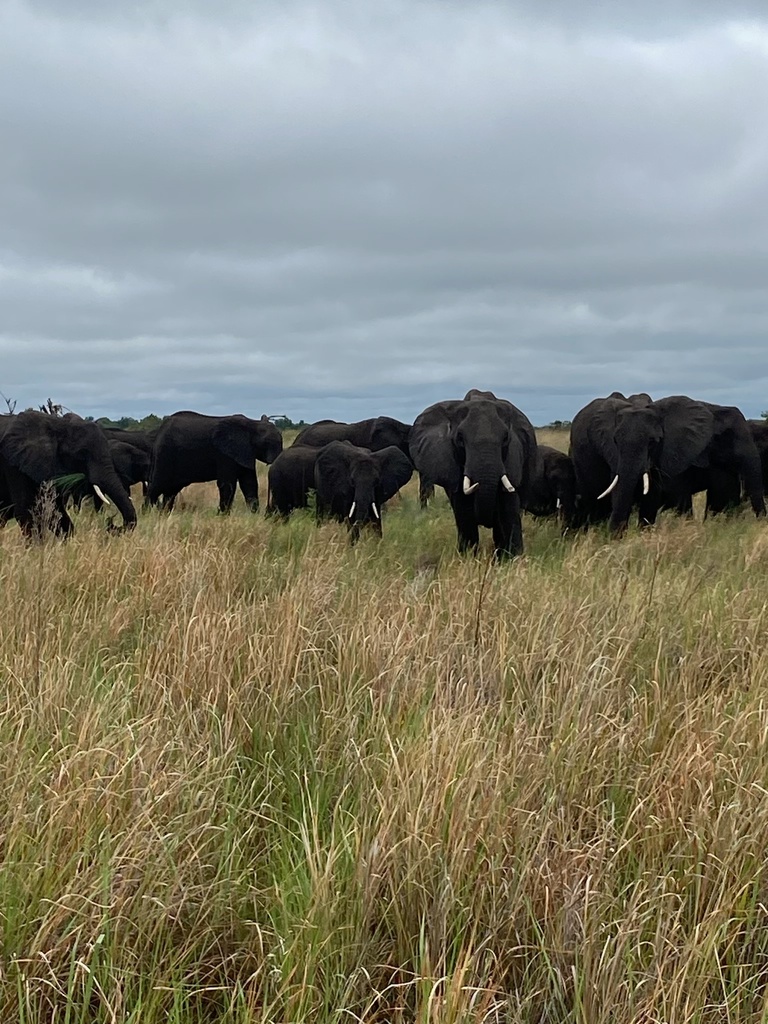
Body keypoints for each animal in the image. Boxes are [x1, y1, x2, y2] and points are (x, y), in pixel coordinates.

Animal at [0, 411, 137, 537]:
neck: (58, 425)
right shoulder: (13, 465)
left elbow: (57, 513)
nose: (110, 522)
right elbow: (26, 513)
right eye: (81, 454)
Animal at [146, 411, 283, 513]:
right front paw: (223, 516)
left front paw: (254, 516)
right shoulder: (225, 454)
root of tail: (159, 431)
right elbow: (227, 484)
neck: (252, 424)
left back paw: (164, 514)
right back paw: (146, 514)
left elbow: (249, 483)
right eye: (268, 443)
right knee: (157, 486)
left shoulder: (245, 452)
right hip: (165, 454)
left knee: (170, 491)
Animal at [409, 389, 538, 558]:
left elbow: (508, 509)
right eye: (460, 439)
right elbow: (464, 512)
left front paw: (512, 559)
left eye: (505, 438)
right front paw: (467, 557)